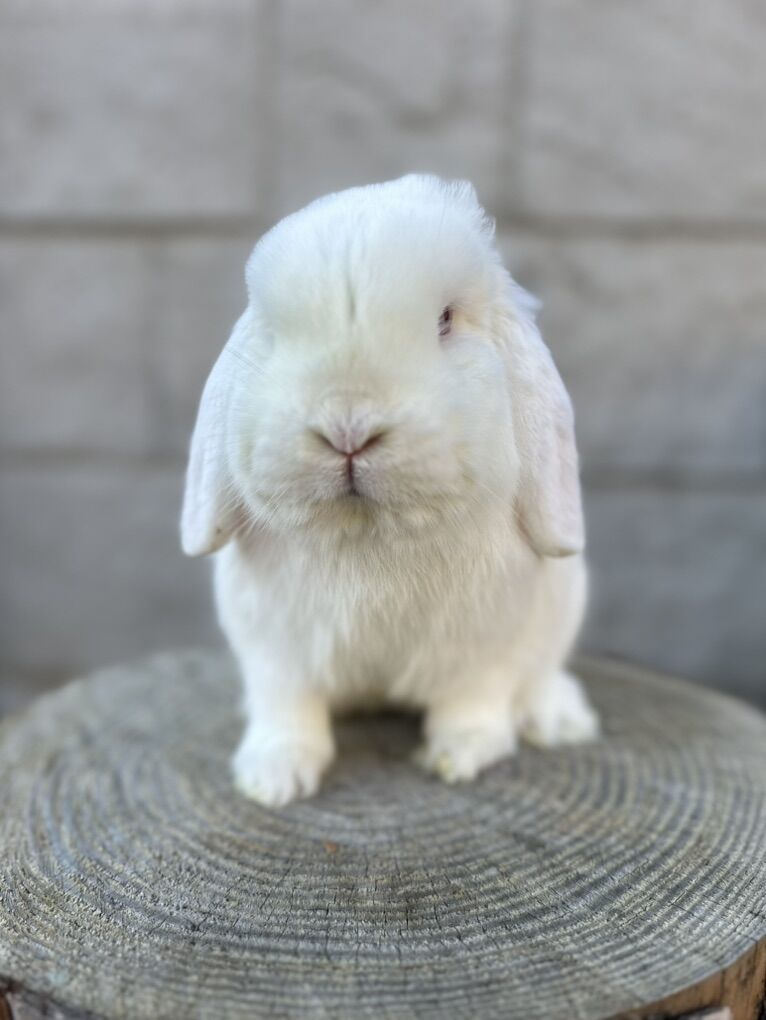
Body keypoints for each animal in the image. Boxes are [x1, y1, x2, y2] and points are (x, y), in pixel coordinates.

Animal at [180, 174, 598, 807]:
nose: (347, 427)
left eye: (445, 320)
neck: (369, 534)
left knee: (538, 676)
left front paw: (459, 757)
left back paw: (559, 722)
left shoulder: (482, 644)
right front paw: (272, 780)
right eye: (274, 335)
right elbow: (287, 712)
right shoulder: (276, 651)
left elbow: (472, 702)